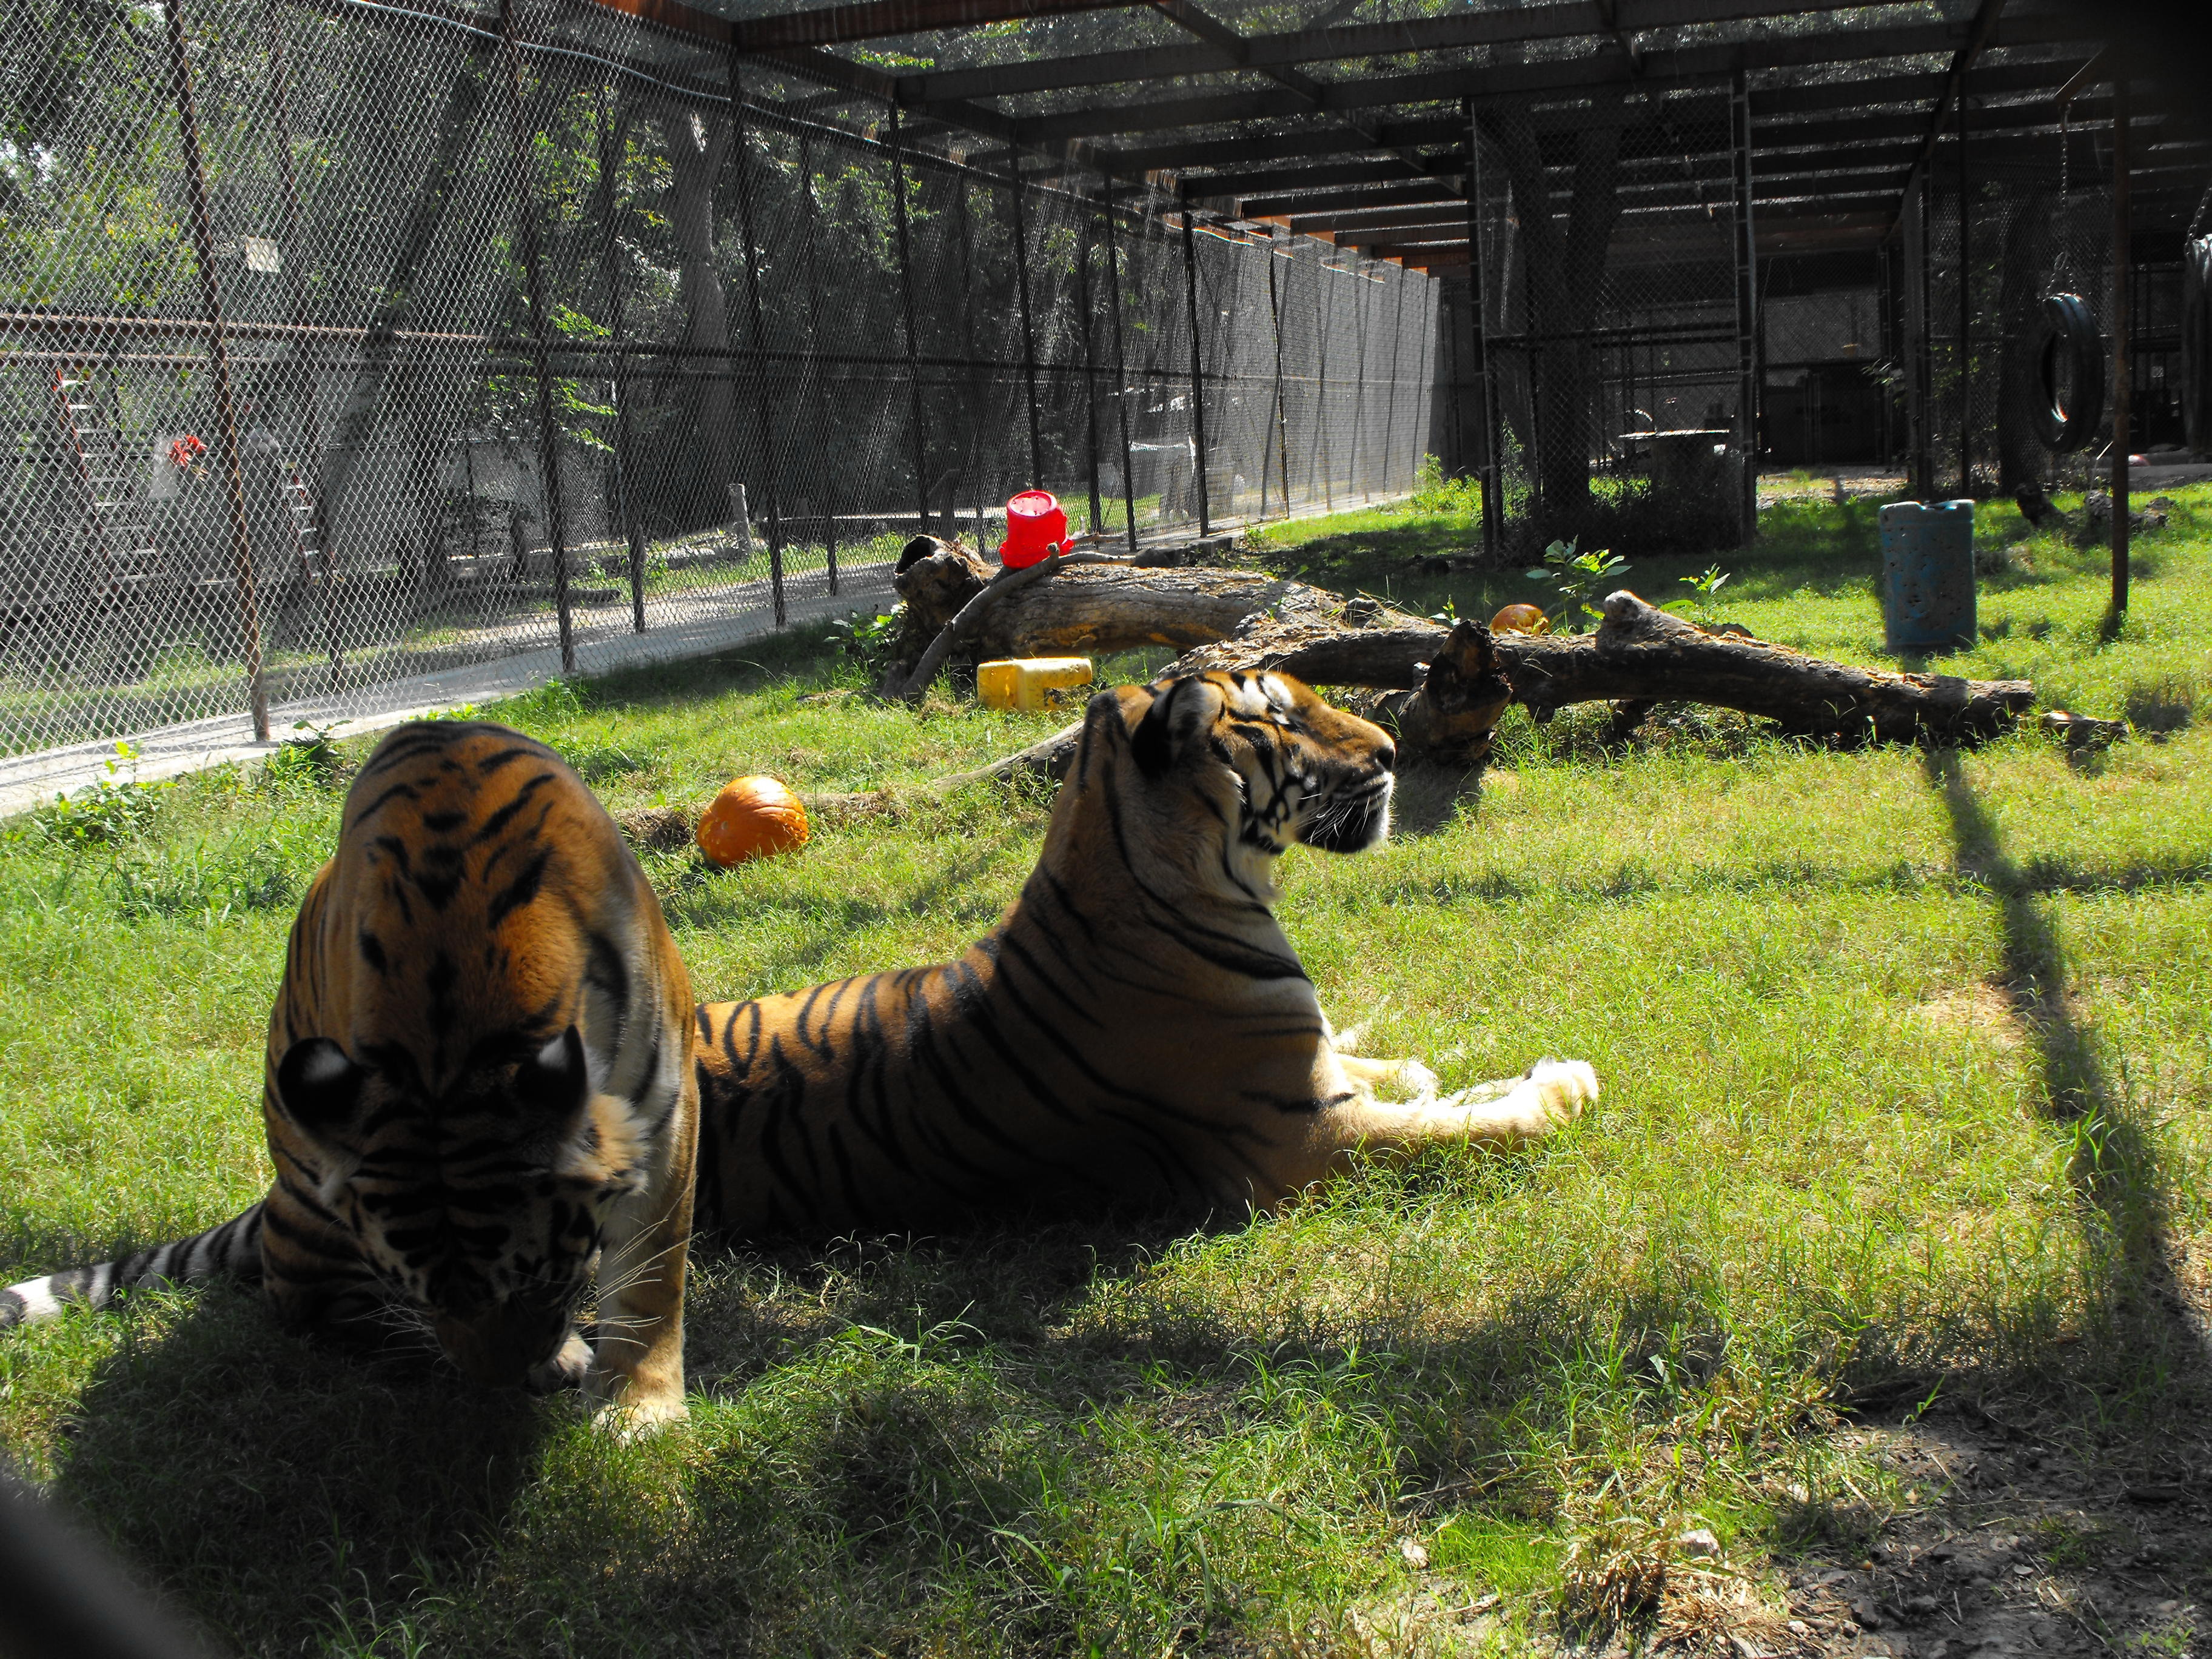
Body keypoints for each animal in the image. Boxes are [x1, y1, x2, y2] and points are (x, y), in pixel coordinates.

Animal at [1, 721, 699, 1429]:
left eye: (544, 1281)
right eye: (420, 1293)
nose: (502, 1386)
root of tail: (270, 1203)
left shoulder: (664, 1114)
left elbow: (651, 1277)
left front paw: (639, 1410)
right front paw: (589, 1377)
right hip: (313, 1225)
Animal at [689, 670, 1598, 1237]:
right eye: (1284, 720)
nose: (1392, 750)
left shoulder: (1314, 1074)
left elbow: (1413, 1081)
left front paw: (1442, 1070)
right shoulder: (1306, 1142)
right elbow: (1483, 1125)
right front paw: (1564, 1084)